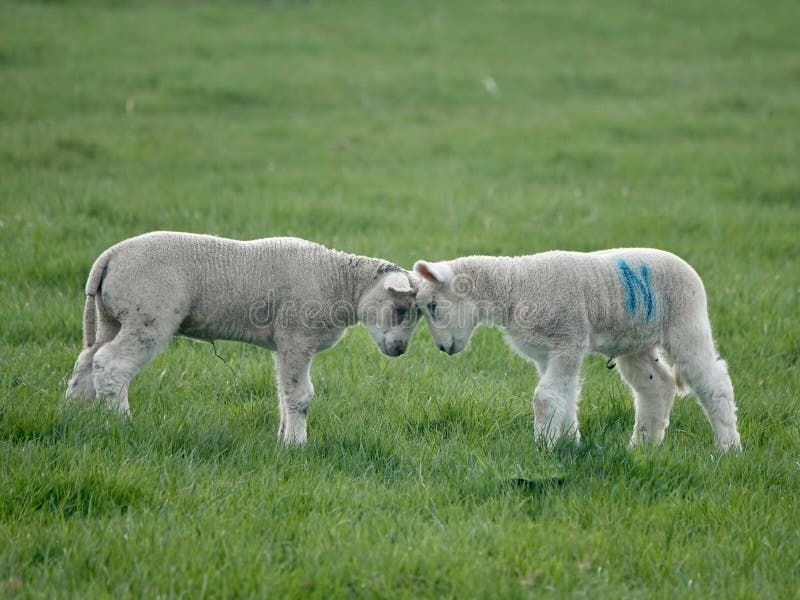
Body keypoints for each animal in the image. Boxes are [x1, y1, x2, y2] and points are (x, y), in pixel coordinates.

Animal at [66, 232, 419, 444]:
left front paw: (283, 439)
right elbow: (300, 396)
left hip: (111, 316)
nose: (400, 350)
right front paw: (297, 445)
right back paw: (122, 422)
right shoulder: (297, 336)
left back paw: (75, 415)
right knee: (111, 364)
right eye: (401, 309)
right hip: (148, 315)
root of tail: (109, 257)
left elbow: (283, 393)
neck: (340, 282)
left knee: (86, 361)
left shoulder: (284, 344)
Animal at [412, 249, 741, 451]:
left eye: (433, 306)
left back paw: (728, 448)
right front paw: (569, 442)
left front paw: (542, 447)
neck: (516, 285)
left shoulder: (568, 341)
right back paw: (644, 446)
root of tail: (688, 267)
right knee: (657, 385)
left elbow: (545, 397)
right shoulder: (547, 353)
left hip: (687, 322)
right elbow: (566, 398)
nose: (443, 348)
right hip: (636, 341)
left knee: (714, 383)